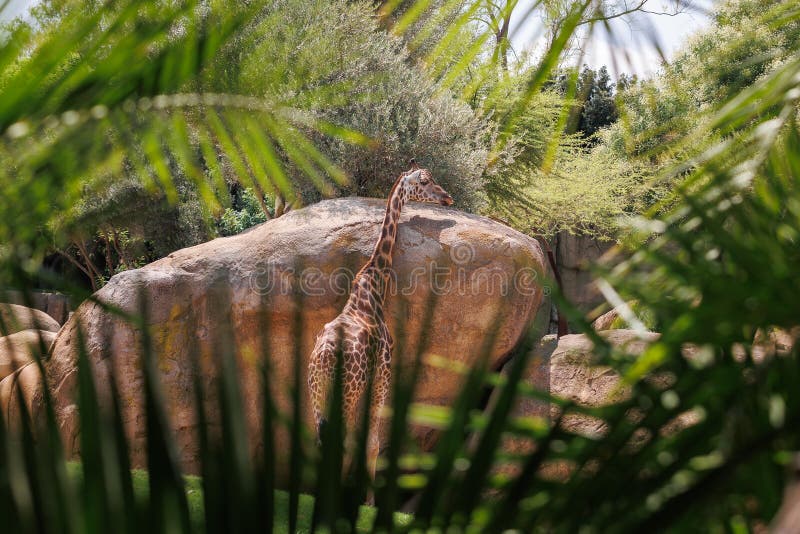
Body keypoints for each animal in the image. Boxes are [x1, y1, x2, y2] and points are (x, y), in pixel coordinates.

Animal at [308, 160, 453, 489]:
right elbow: (373, 443)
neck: (371, 291)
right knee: (341, 443)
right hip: (345, 393)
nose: (448, 197)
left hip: (316, 393)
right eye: (425, 181)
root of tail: (323, 359)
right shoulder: (384, 373)